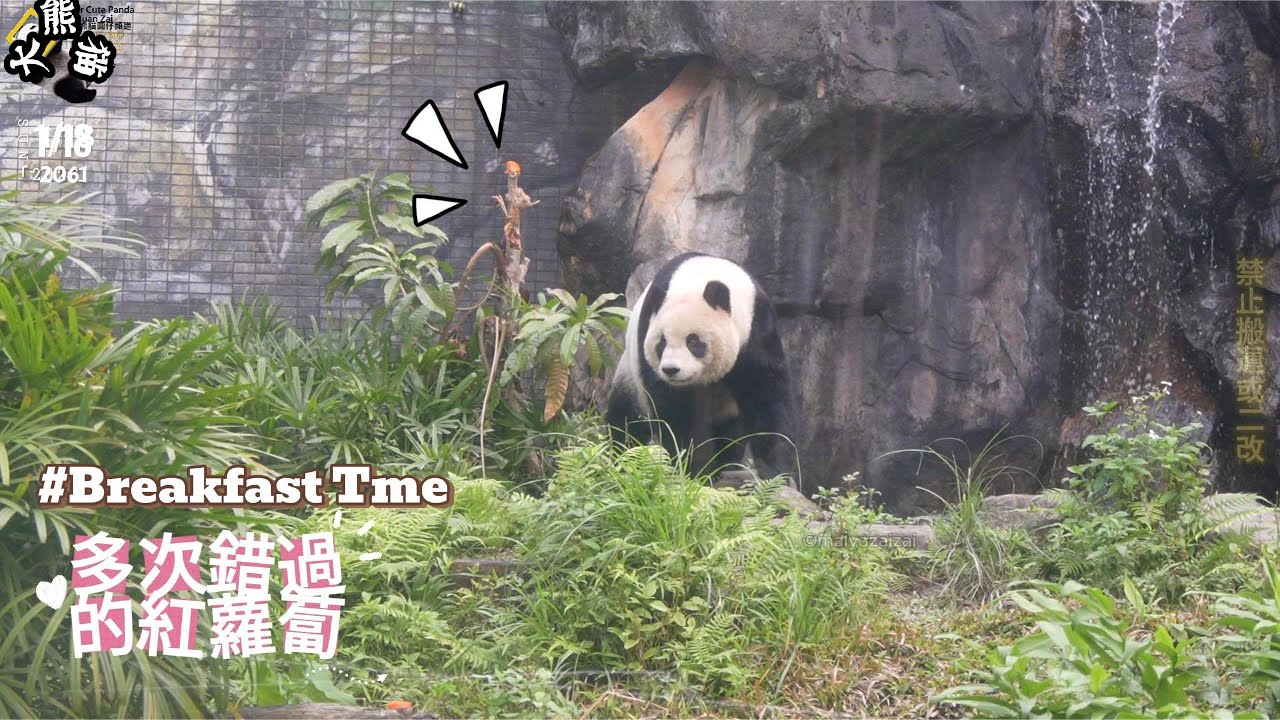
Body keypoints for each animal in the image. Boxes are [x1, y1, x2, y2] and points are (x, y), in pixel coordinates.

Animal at [606, 252, 803, 491]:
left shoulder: (757, 330)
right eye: (662, 342)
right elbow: (675, 411)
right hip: (629, 372)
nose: (671, 370)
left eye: (693, 341)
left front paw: (774, 473)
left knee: (730, 431)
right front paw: (694, 469)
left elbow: (766, 395)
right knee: (627, 419)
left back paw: (725, 464)